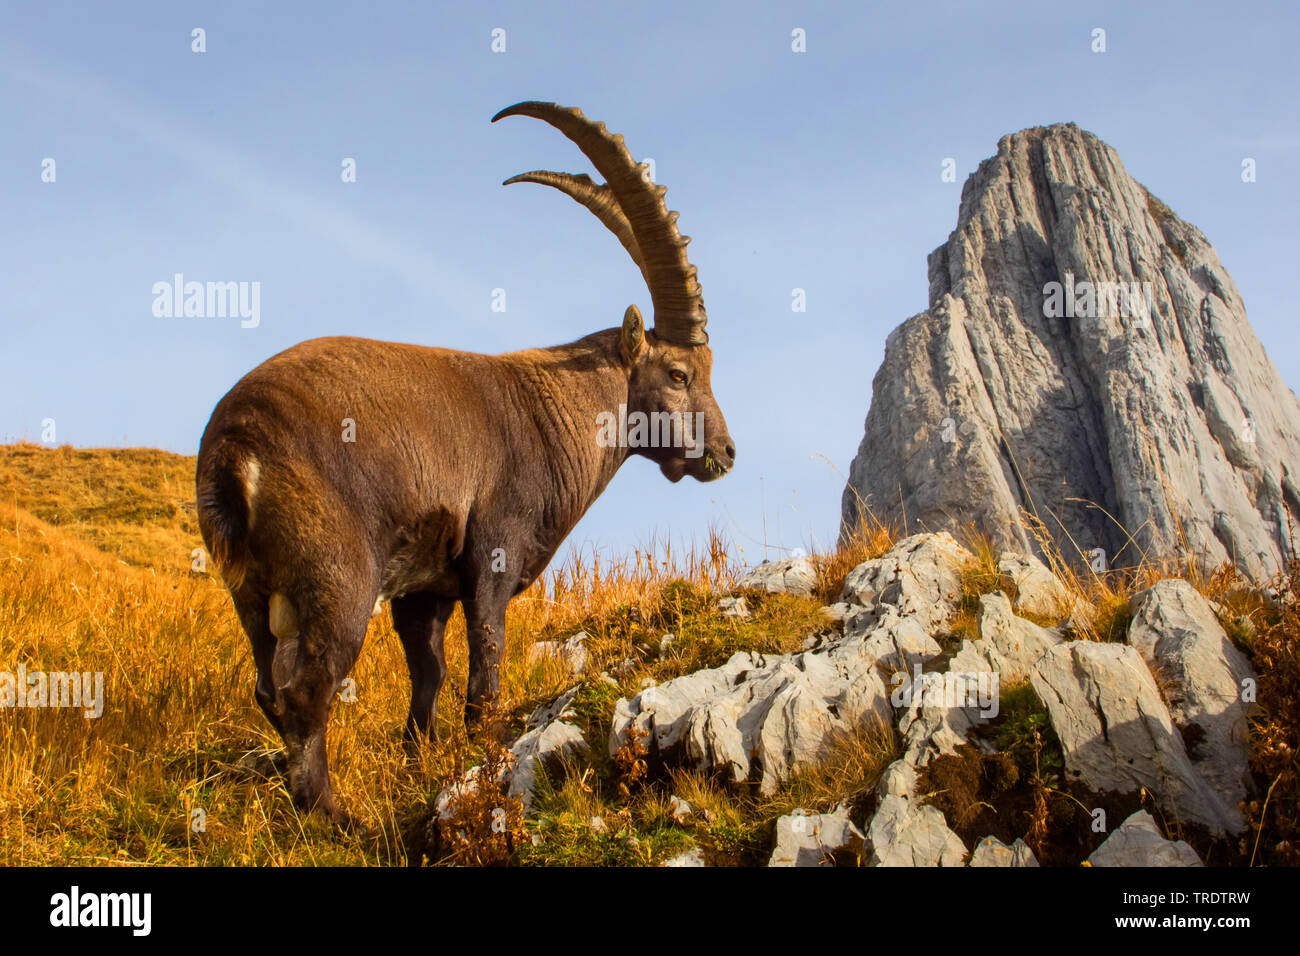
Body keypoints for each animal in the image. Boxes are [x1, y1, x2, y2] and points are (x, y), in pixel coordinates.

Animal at [195, 102, 735, 824]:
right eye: (679, 373)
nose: (725, 452)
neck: (558, 408)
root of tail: (236, 446)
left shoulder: (421, 589)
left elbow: (429, 679)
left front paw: (419, 766)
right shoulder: (492, 557)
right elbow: (484, 673)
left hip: (251, 594)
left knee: (266, 687)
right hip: (339, 580)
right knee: (306, 693)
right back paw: (337, 818)